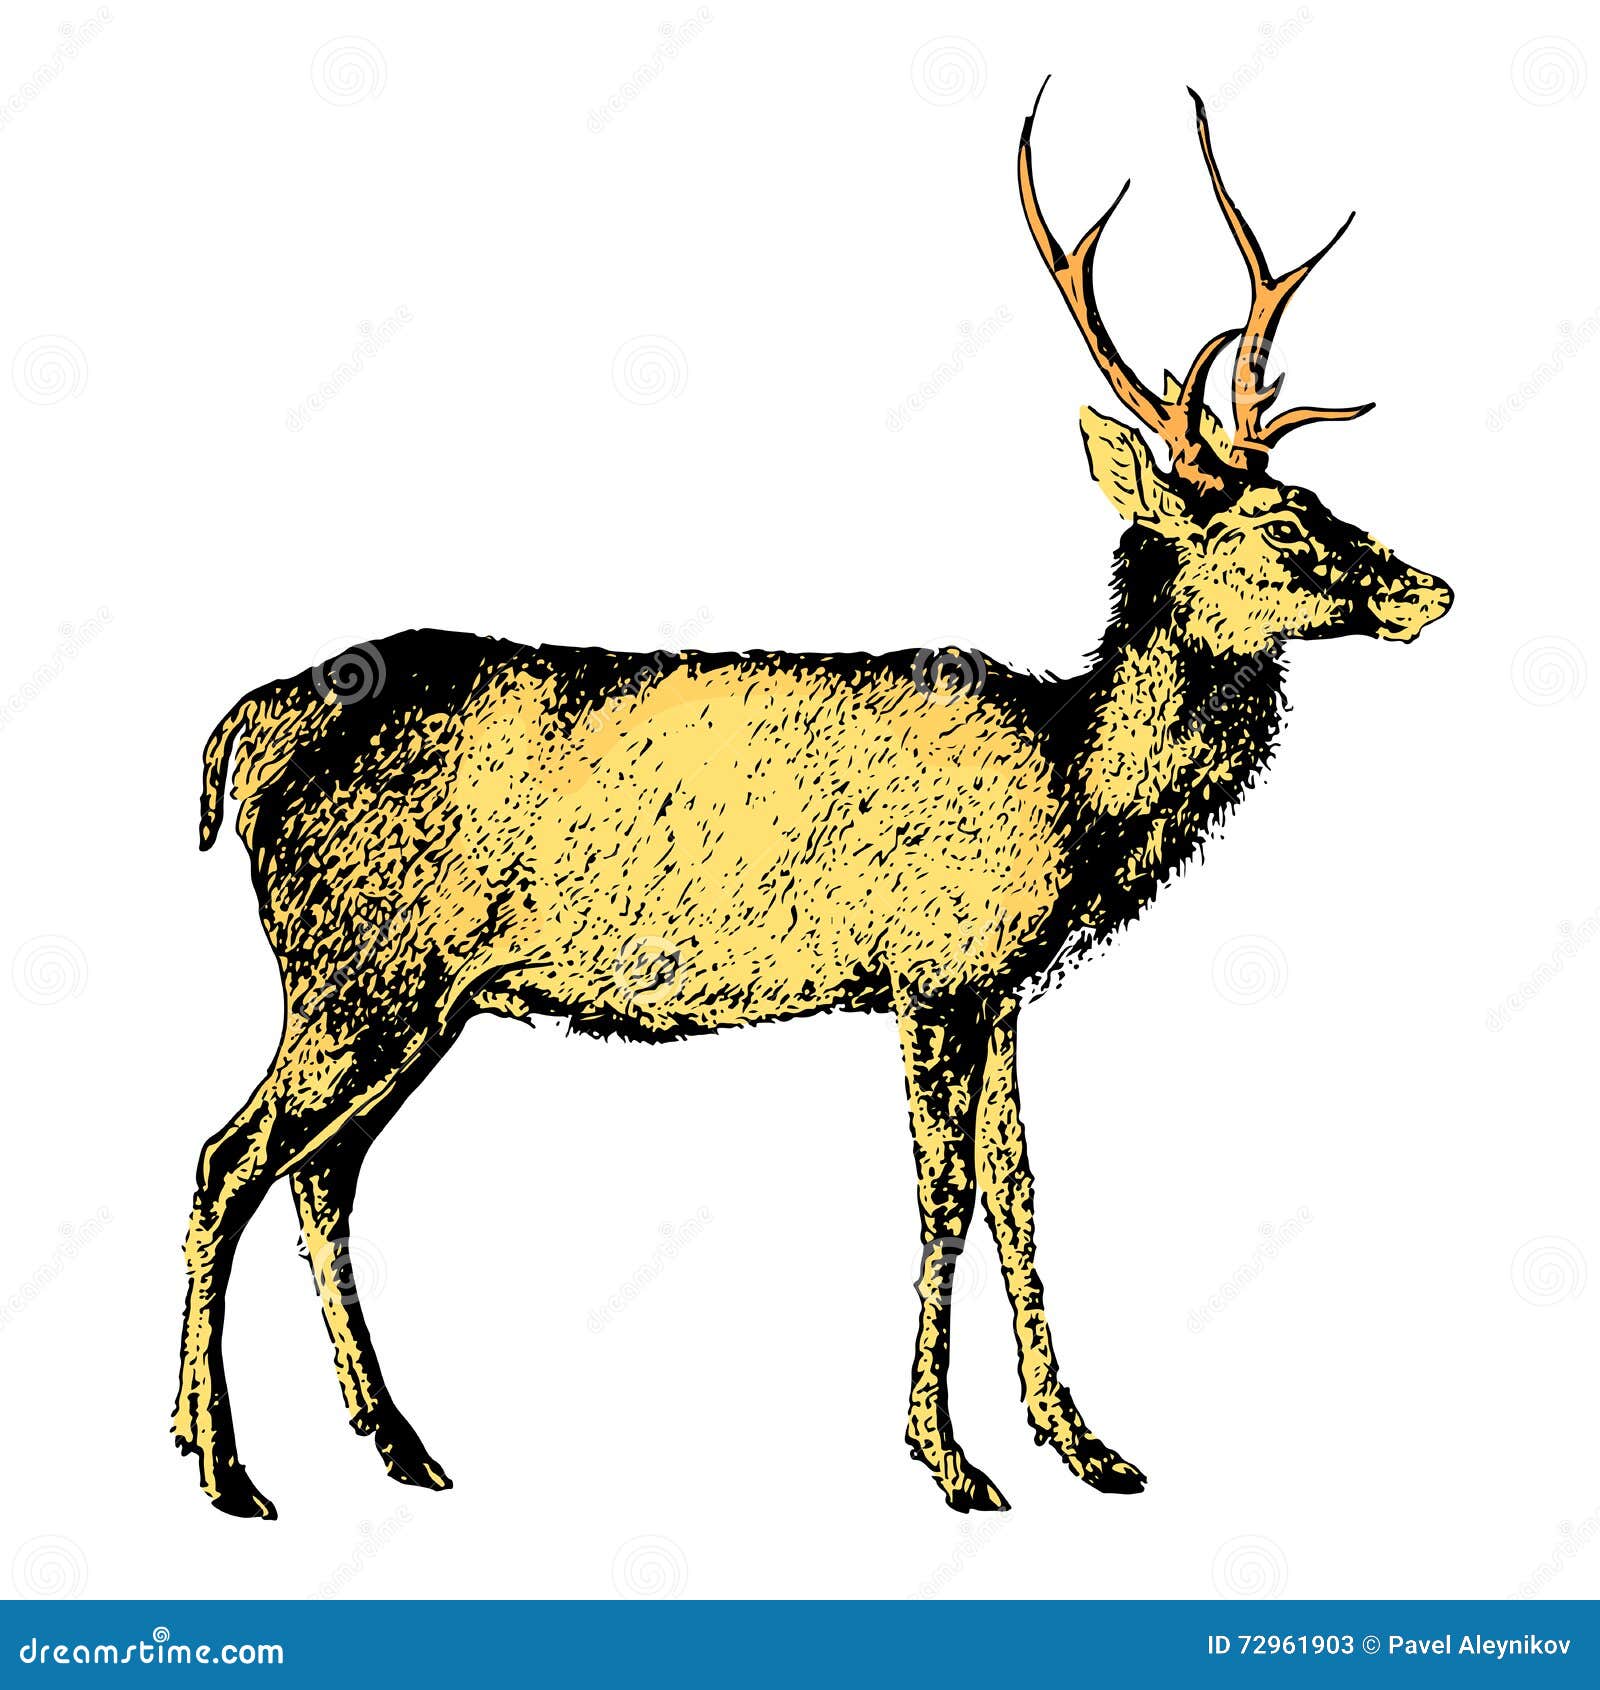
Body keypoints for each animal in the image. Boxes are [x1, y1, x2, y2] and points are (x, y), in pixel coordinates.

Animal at [175, 84, 1451, 1519]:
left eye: (1325, 497)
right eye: (1280, 527)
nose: (1428, 586)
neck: (1066, 791)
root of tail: (252, 728)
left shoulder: (999, 982)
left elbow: (1022, 1192)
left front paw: (1087, 1443)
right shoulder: (931, 964)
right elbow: (944, 1199)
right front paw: (950, 1458)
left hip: (411, 995)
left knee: (319, 1173)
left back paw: (397, 1440)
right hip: (356, 966)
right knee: (229, 1159)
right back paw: (221, 1462)